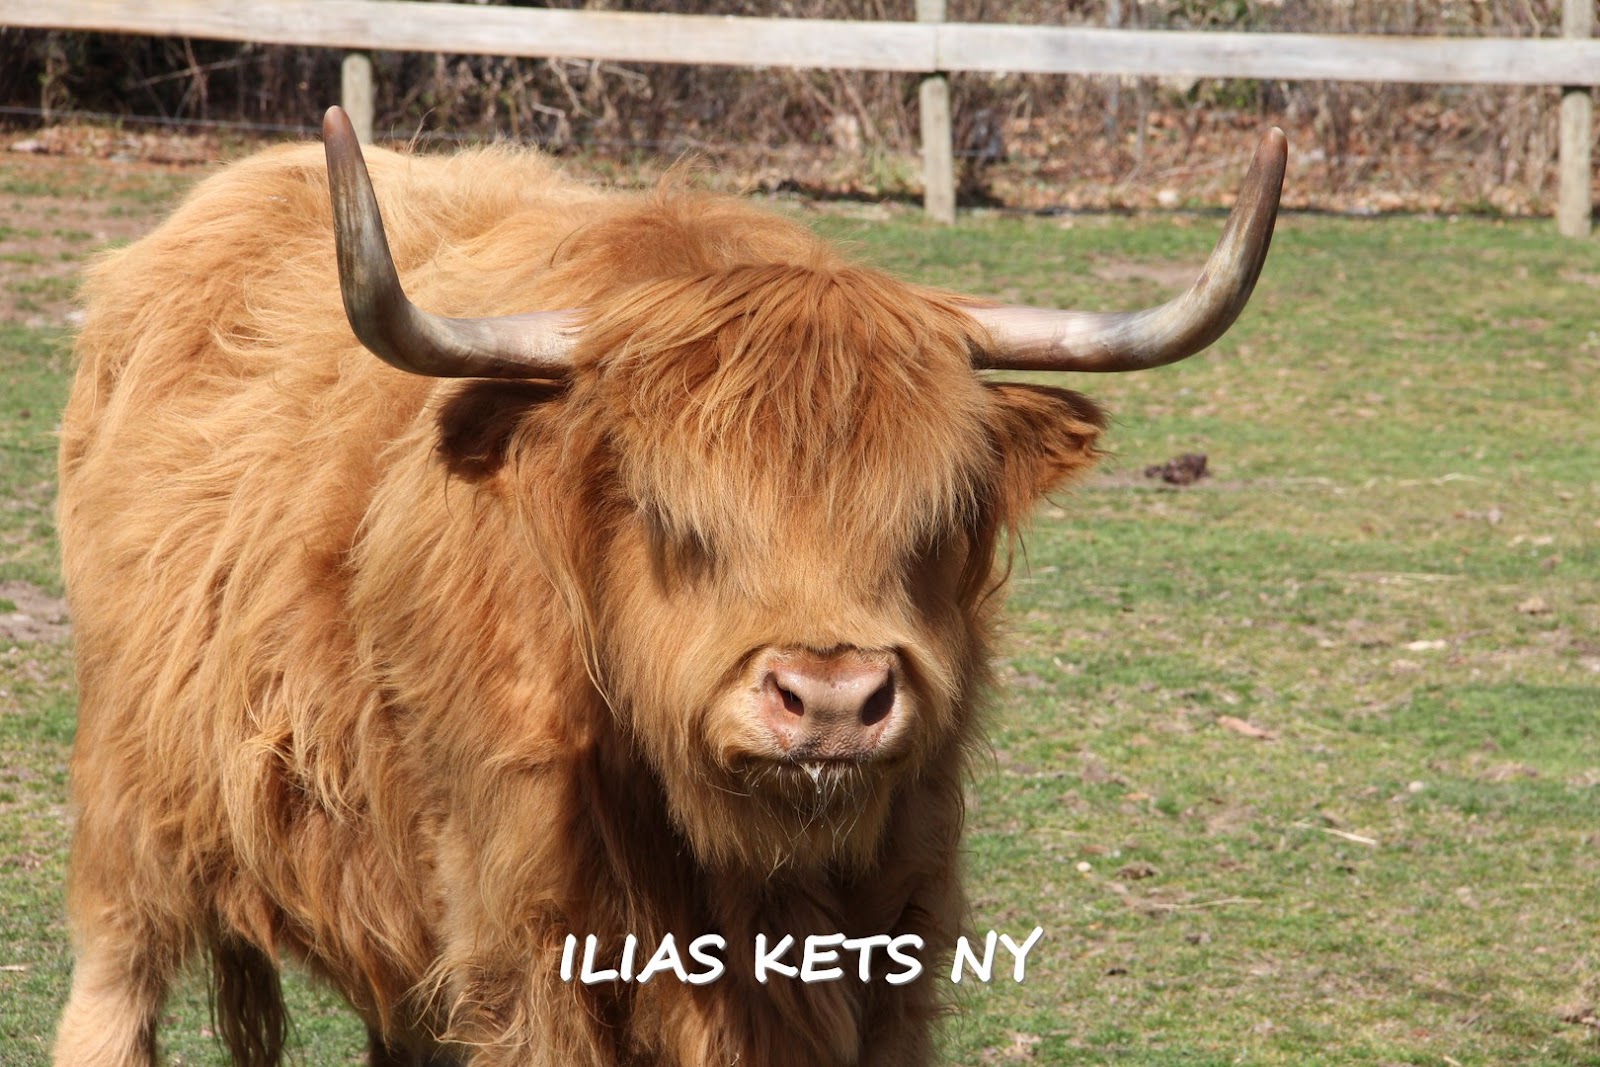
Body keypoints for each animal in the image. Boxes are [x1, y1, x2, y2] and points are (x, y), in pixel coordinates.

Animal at [53, 106, 1284, 1067]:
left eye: (936, 516)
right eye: (666, 513)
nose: (831, 699)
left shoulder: (896, 929)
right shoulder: (531, 949)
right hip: (130, 795)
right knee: (117, 972)